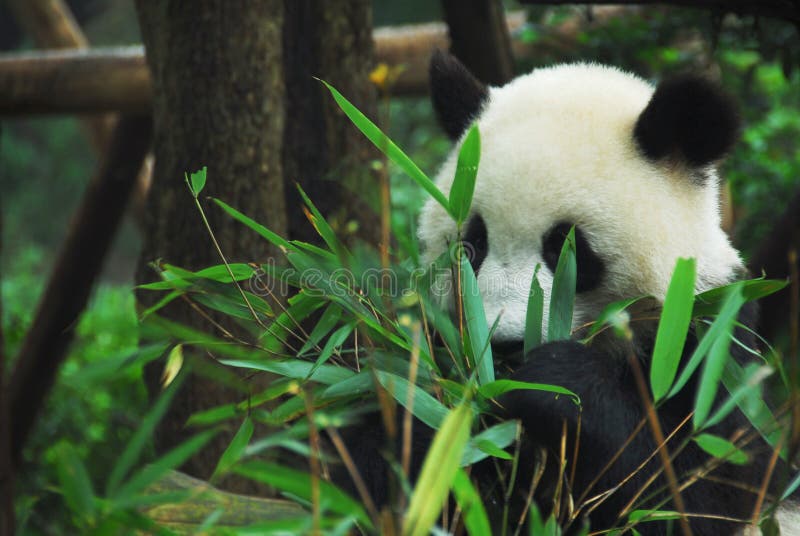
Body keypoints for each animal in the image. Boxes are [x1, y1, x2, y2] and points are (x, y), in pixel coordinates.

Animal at [342, 52, 799, 535]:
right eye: (473, 245)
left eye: (568, 249)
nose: (505, 345)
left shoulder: (710, 343)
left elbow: (704, 491)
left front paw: (556, 382)